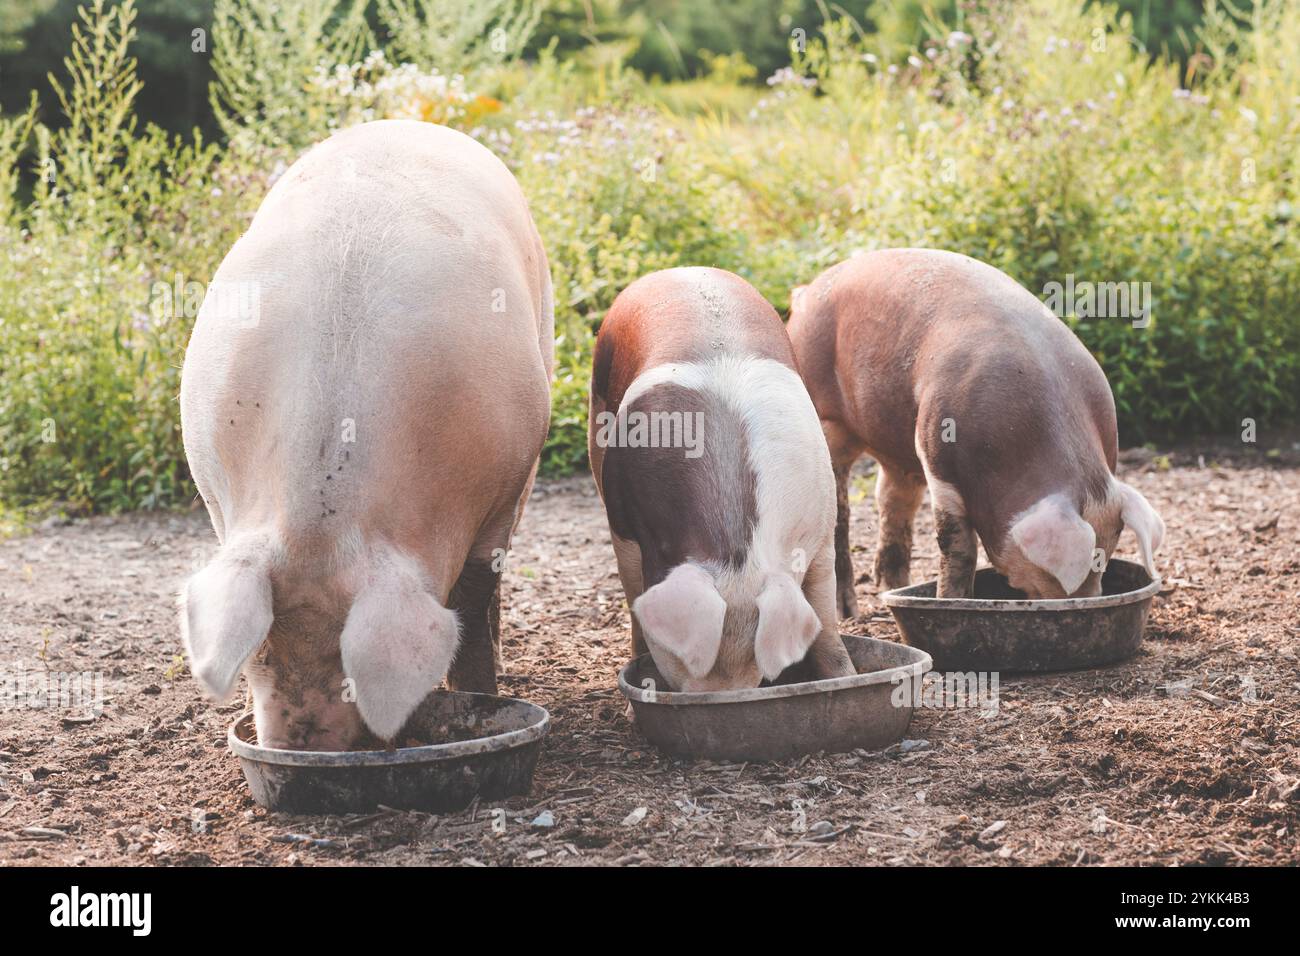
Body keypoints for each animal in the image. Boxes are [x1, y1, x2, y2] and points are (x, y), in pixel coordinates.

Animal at [179, 120, 553, 750]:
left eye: (348, 663)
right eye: (262, 653)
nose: (301, 745)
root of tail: (404, 121)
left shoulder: (506, 487)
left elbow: (475, 597)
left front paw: (482, 693)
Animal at [588, 267, 855, 691]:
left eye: (756, 664)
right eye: (682, 659)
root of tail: (681, 270)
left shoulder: (822, 521)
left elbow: (825, 619)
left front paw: (847, 677)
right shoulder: (623, 526)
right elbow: (634, 597)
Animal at [787, 248, 1164, 613]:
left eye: (1105, 559)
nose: (1088, 599)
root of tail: (807, 292)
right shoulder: (935, 451)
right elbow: (956, 543)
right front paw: (951, 600)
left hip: (895, 445)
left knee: (893, 499)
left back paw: (891, 587)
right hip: (827, 414)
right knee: (840, 509)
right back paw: (846, 612)